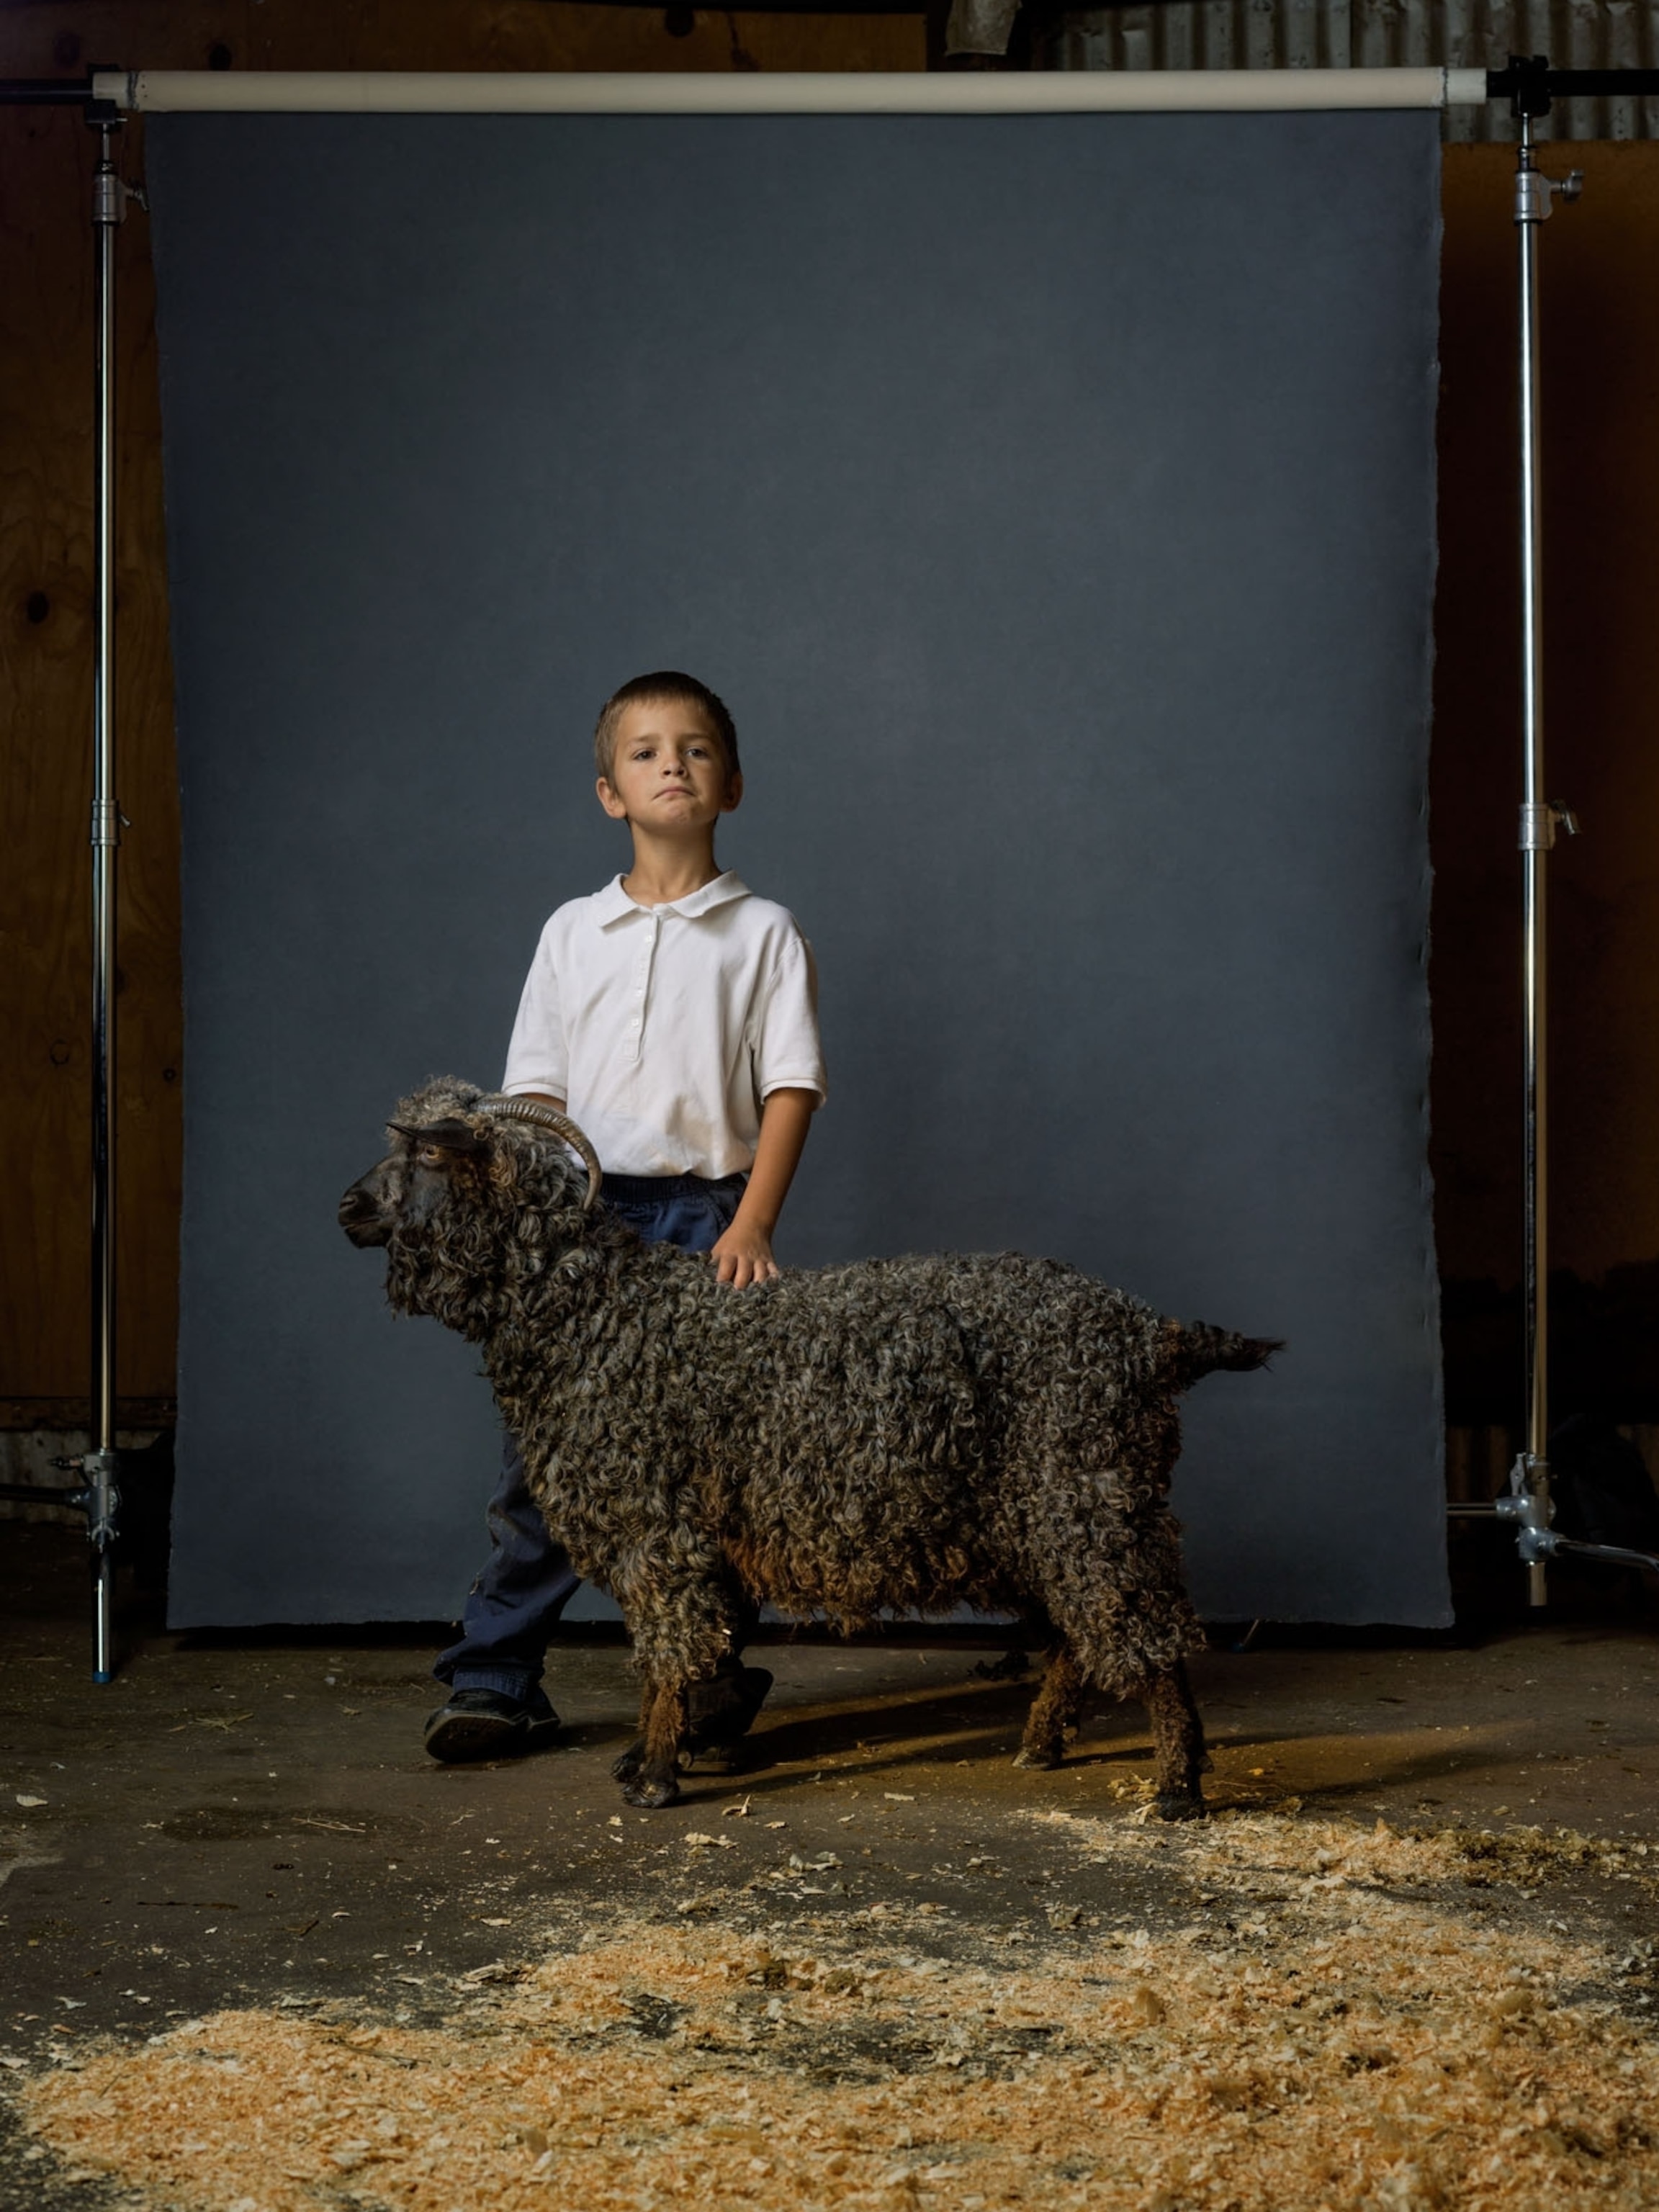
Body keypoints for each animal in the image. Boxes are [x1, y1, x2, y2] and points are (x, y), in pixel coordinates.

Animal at [339, 1078, 1280, 1813]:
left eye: (429, 1158)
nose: (348, 1207)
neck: (599, 1312)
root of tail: (1150, 1333)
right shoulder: (671, 1534)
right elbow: (666, 1653)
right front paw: (654, 1753)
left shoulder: (659, 1528)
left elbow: (667, 1651)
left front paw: (654, 1774)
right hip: (1036, 1517)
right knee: (1074, 1638)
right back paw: (1043, 1745)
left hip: (1091, 1497)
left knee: (1148, 1630)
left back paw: (1178, 1786)